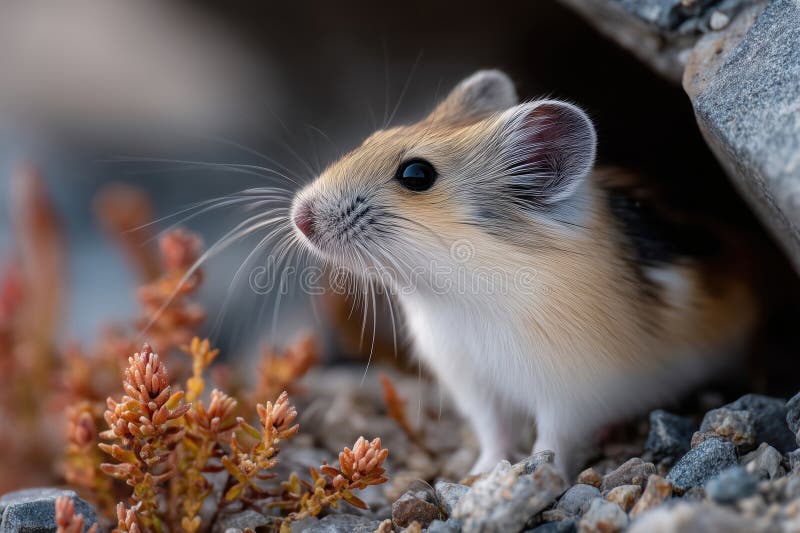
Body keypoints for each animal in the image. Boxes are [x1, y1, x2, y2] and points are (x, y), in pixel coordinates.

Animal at [289, 70, 758, 476]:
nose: (301, 217)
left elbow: (552, 440)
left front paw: (536, 476)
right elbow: (494, 434)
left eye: (416, 174)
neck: (467, 296)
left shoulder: (571, 392)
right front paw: (478, 476)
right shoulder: (477, 387)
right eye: (373, 138)